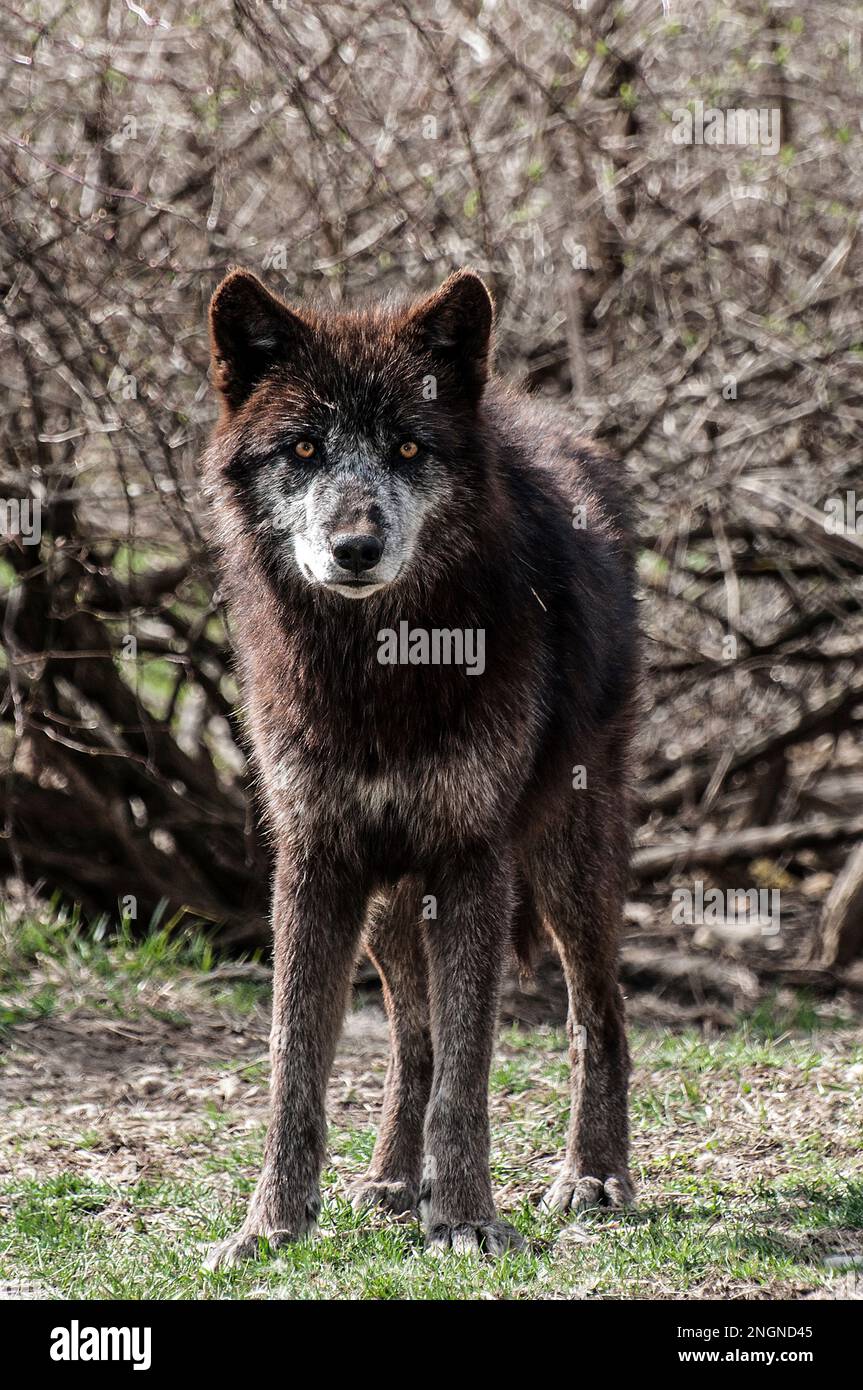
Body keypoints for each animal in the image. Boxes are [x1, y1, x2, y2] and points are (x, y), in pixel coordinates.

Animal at [201, 267, 639, 1267]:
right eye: (304, 447)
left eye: (407, 446)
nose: (355, 548)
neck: (378, 674)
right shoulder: (315, 861)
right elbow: (295, 1067)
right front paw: (269, 1226)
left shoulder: (474, 858)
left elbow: (469, 1072)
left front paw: (470, 1216)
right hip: (391, 906)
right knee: (411, 1035)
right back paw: (395, 1182)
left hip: (567, 856)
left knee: (595, 1016)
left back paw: (592, 1177)